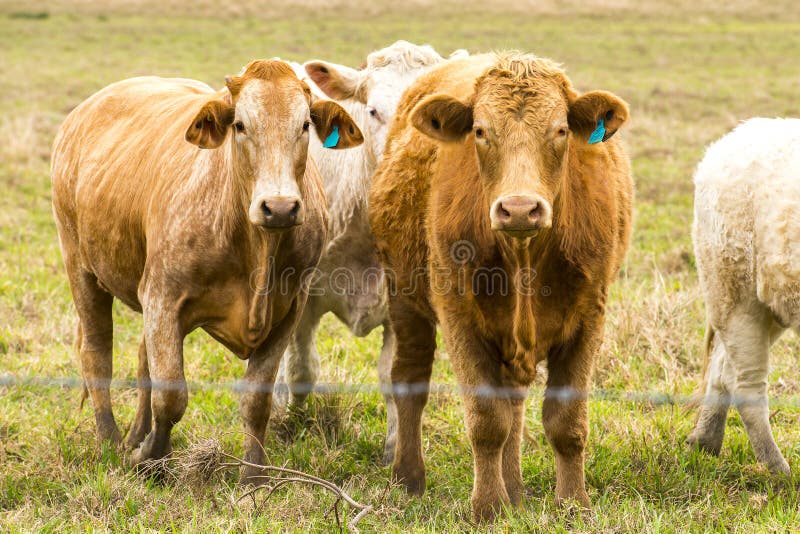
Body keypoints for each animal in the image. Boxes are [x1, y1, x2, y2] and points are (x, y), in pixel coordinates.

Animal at [50, 59, 362, 481]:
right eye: (241, 125)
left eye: (303, 125)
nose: (279, 207)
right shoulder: (164, 298)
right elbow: (171, 395)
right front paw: (152, 459)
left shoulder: (288, 312)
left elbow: (256, 400)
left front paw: (254, 477)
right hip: (80, 267)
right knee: (98, 353)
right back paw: (111, 441)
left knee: (142, 358)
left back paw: (135, 434)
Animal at [275, 41, 451, 463]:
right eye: (373, 111)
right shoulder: (302, 298)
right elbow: (301, 369)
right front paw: (287, 424)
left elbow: (398, 380)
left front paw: (395, 451)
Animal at [368, 53, 633, 520]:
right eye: (480, 131)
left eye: (560, 130)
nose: (520, 208)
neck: (525, 255)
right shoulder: (458, 317)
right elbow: (488, 421)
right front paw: (488, 507)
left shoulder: (590, 314)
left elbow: (566, 422)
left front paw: (572, 504)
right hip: (404, 300)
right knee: (410, 381)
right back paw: (409, 477)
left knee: (514, 401)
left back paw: (516, 490)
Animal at [687, 118, 800, 477]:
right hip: (734, 295)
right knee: (746, 386)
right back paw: (778, 468)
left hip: (771, 305)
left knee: (722, 368)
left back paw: (703, 442)